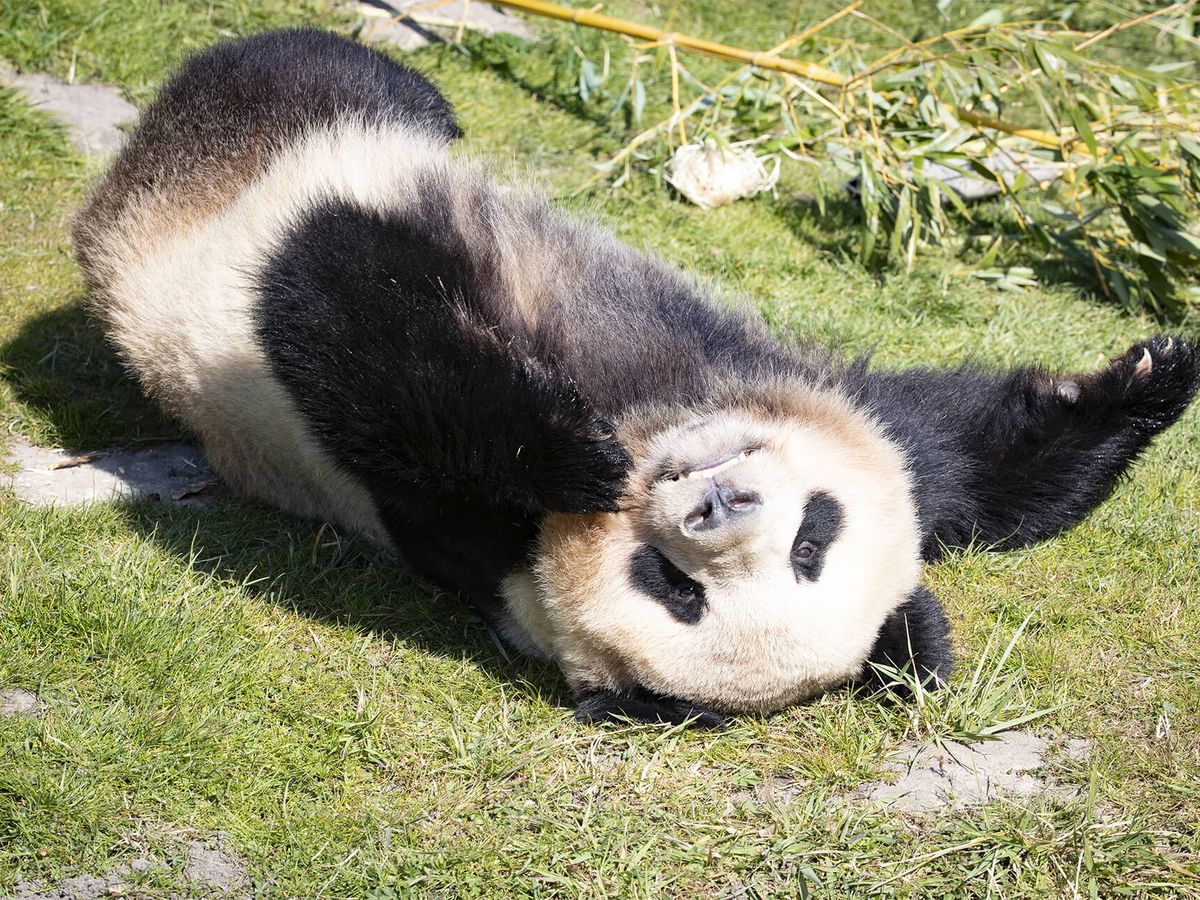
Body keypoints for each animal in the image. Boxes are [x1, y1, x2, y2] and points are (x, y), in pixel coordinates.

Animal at [74, 29, 1200, 727]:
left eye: (677, 589)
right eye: (817, 534)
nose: (717, 502)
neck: (657, 406)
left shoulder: (462, 528)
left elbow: (355, 342)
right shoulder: (858, 421)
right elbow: (976, 459)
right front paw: (1154, 373)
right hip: (293, 123)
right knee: (355, 85)